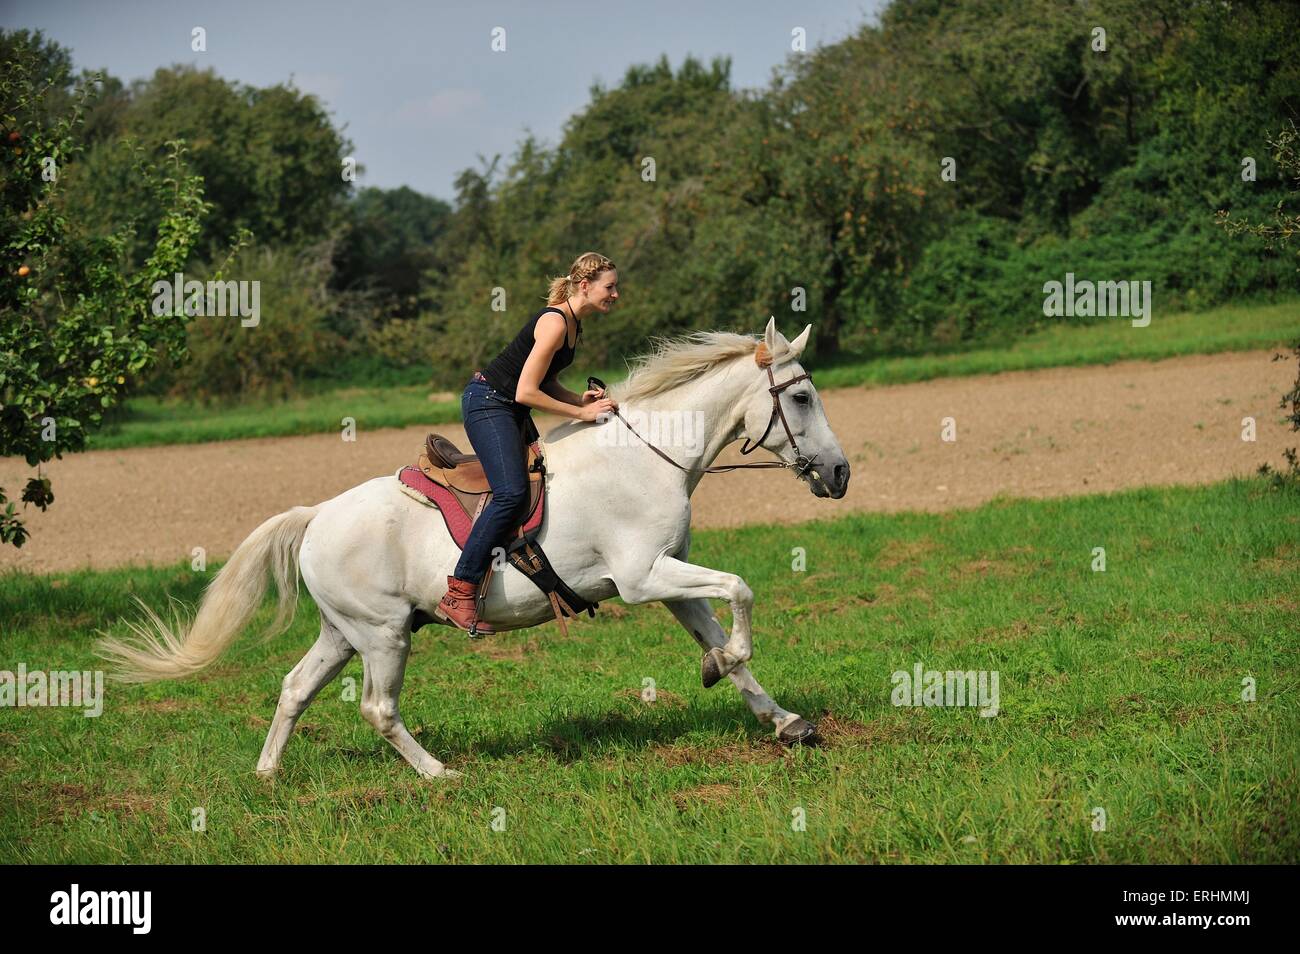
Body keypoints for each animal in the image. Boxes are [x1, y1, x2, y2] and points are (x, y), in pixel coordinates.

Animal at [95, 319, 851, 779]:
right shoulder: (645, 577)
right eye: (803, 398)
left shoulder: (669, 581)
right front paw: (728, 668)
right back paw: (439, 774)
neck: (648, 456)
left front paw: (781, 718)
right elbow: (741, 592)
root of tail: (314, 518)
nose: (842, 474)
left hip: (344, 632)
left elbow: (724, 635)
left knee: (293, 689)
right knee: (377, 710)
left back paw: (267, 774)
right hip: (384, 636)